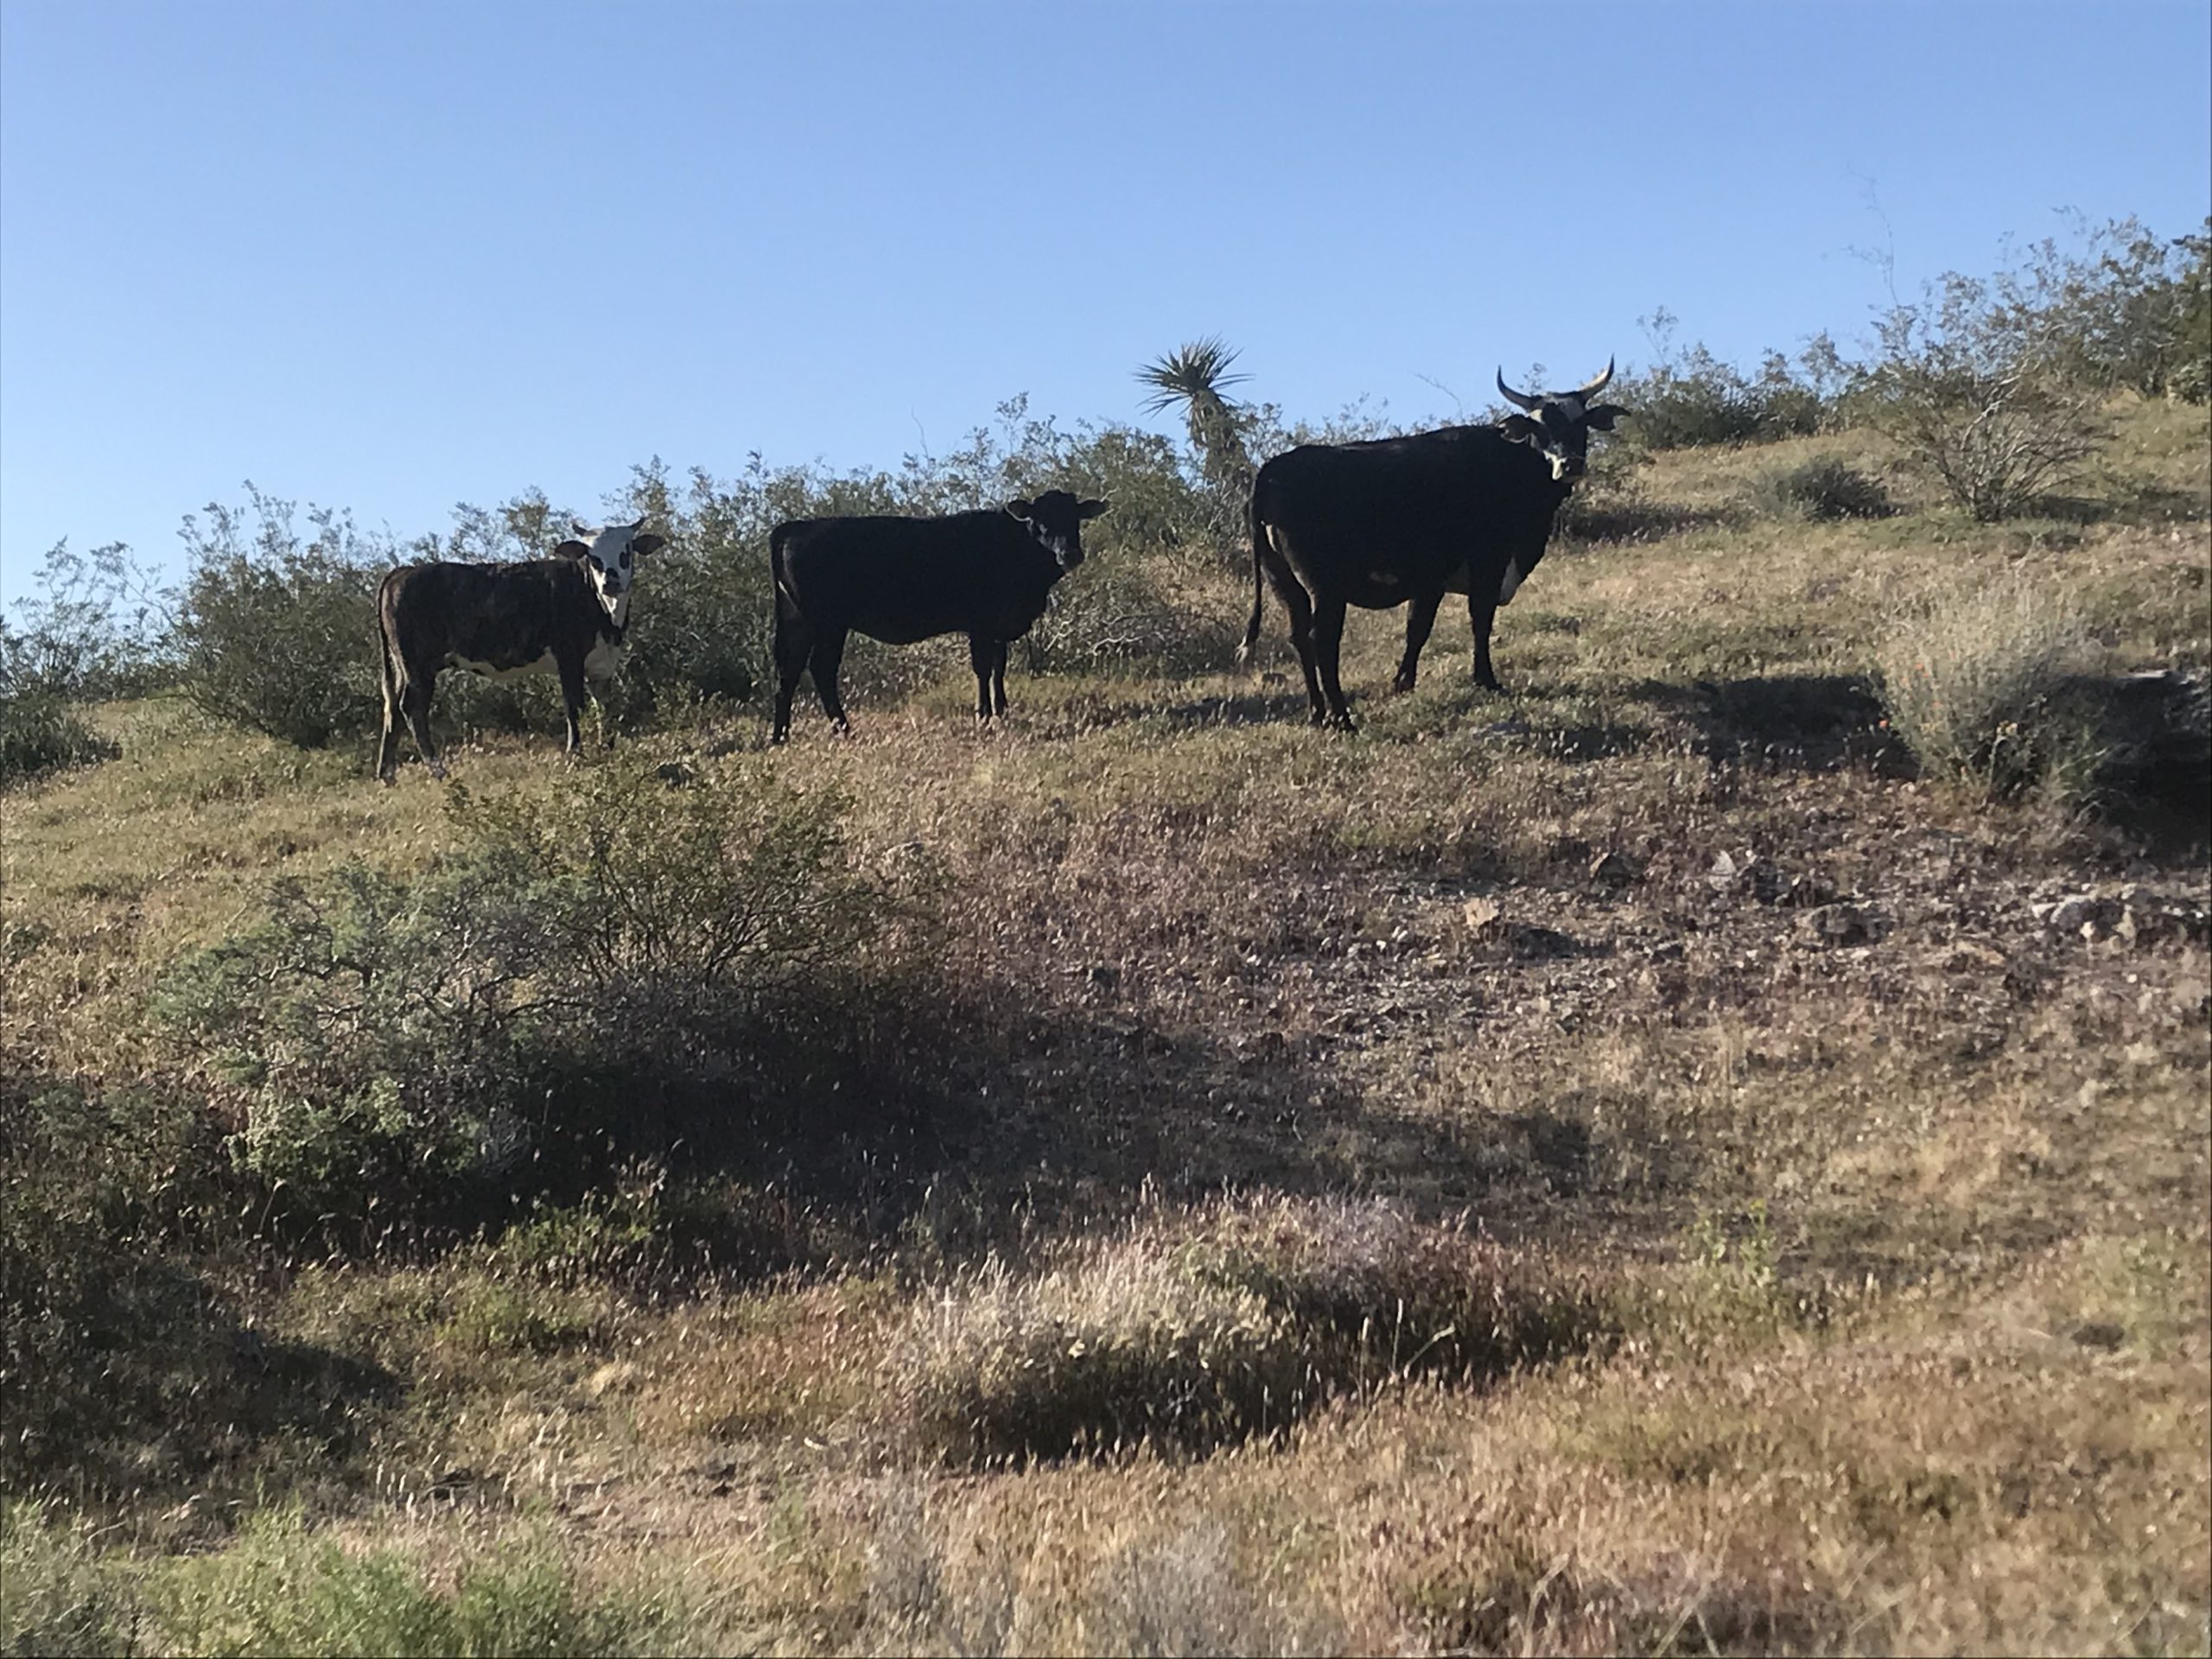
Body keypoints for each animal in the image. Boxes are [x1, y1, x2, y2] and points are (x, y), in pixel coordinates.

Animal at [375, 516, 666, 781]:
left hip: (403, 665)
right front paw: (575, 756)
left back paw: (388, 775)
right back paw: (438, 770)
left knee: (393, 708)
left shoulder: (601, 667)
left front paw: (608, 752)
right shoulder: (569, 659)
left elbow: (605, 710)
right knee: (412, 707)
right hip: (418, 665)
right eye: (592, 556)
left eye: (626, 551)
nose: (610, 582)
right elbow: (574, 708)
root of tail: (402, 572)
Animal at [769, 490, 1109, 742]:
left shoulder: (999, 625)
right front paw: (983, 714)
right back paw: (843, 729)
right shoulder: (981, 623)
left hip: (800, 621)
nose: (1070, 554)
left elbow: (1000, 666)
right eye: (1041, 522)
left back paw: (781, 736)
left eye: (1075, 519)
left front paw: (1002, 709)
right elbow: (983, 667)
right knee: (821, 669)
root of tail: (796, 526)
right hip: (828, 623)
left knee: (790, 671)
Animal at [1240, 361, 1628, 728]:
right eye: (1540, 428)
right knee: (1321, 640)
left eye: (1581, 423)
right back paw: (1342, 718)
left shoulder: (1429, 583)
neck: (1509, 462)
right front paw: (1486, 679)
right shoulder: (1487, 563)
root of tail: (1274, 469)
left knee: (1300, 638)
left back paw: (1318, 713)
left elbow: (1417, 629)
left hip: (1283, 581)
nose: (1569, 464)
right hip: (1325, 587)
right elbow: (1479, 620)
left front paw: (1403, 681)